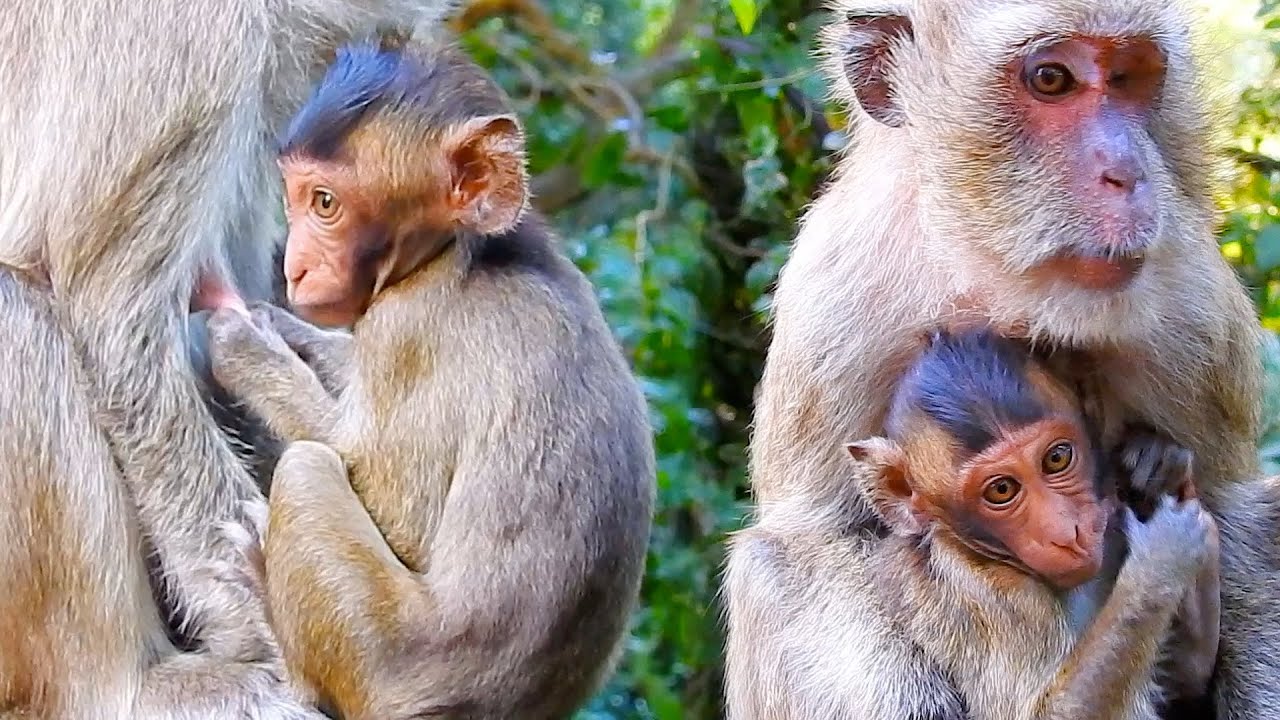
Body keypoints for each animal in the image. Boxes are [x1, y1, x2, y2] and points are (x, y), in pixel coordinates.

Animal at [202, 37, 656, 720]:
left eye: (325, 203)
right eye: (294, 194)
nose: (296, 267)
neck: (458, 252)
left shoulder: (406, 328)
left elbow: (392, 509)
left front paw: (246, 347)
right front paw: (284, 329)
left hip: (373, 656)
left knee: (308, 468)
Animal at [841, 328, 1218, 720]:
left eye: (1057, 458)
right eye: (1002, 490)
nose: (1066, 532)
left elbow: (1186, 678)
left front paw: (1160, 462)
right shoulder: (995, 596)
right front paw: (1162, 560)